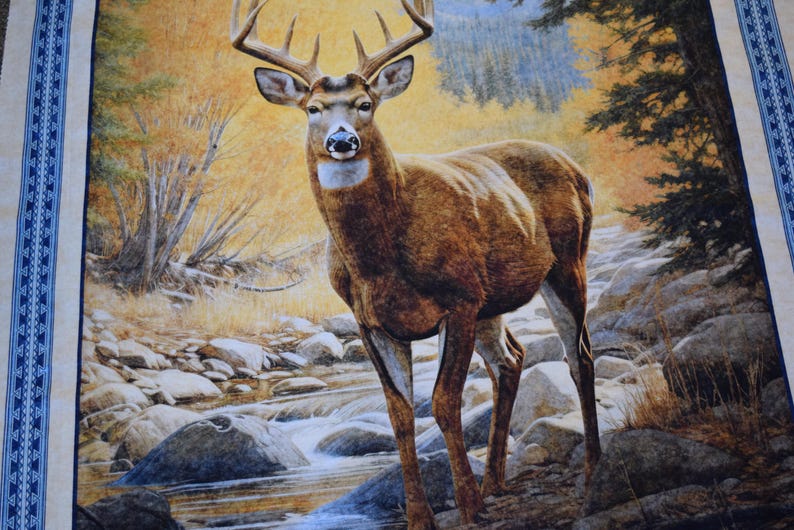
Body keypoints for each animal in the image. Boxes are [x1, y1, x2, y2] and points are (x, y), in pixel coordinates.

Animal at [230, 0, 601, 527]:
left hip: (568, 261)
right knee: (511, 359)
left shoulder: (459, 299)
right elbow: (399, 414)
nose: (341, 141)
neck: (381, 263)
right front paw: (420, 516)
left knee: (579, 355)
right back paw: (496, 482)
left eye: (365, 104)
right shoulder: (370, 323)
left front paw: (468, 508)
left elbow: (444, 403)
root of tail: (574, 166)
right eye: (313, 109)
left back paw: (590, 478)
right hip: (494, 301)